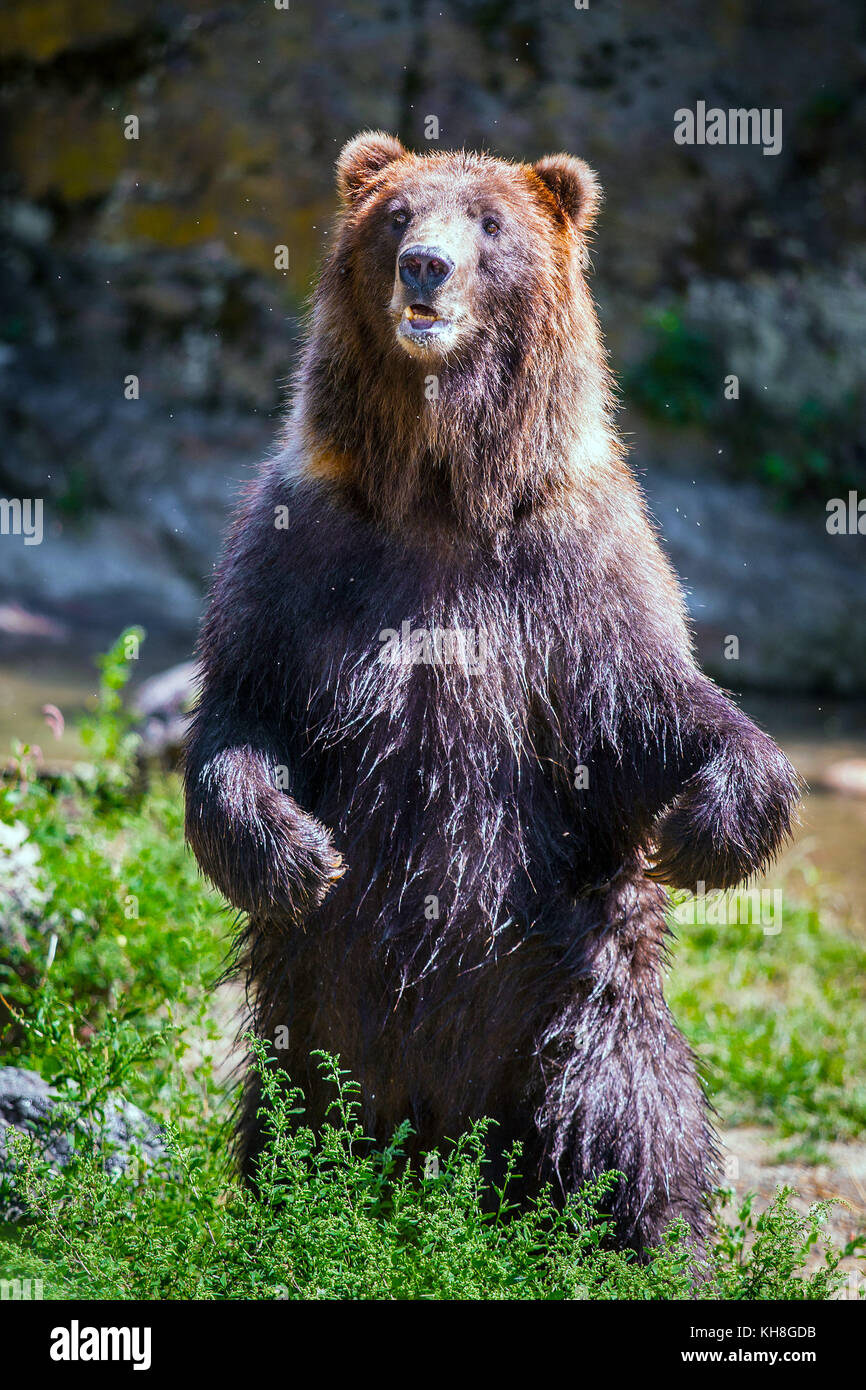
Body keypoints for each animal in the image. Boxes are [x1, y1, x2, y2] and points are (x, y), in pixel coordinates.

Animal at [184, 131, 800, 1255]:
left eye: (490, 222)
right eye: (395, 214)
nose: (423, 265)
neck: (440, 492)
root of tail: (446, 1157)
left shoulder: (576, 566)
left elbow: (648, 709)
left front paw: (710, 822)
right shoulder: (298, 550)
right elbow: (245, 711)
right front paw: (297, 851)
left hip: (570, 999)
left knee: (627, 1109)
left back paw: (650, 1238)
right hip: (317, 1010)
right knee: (295, 1109)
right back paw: (298, 1209)